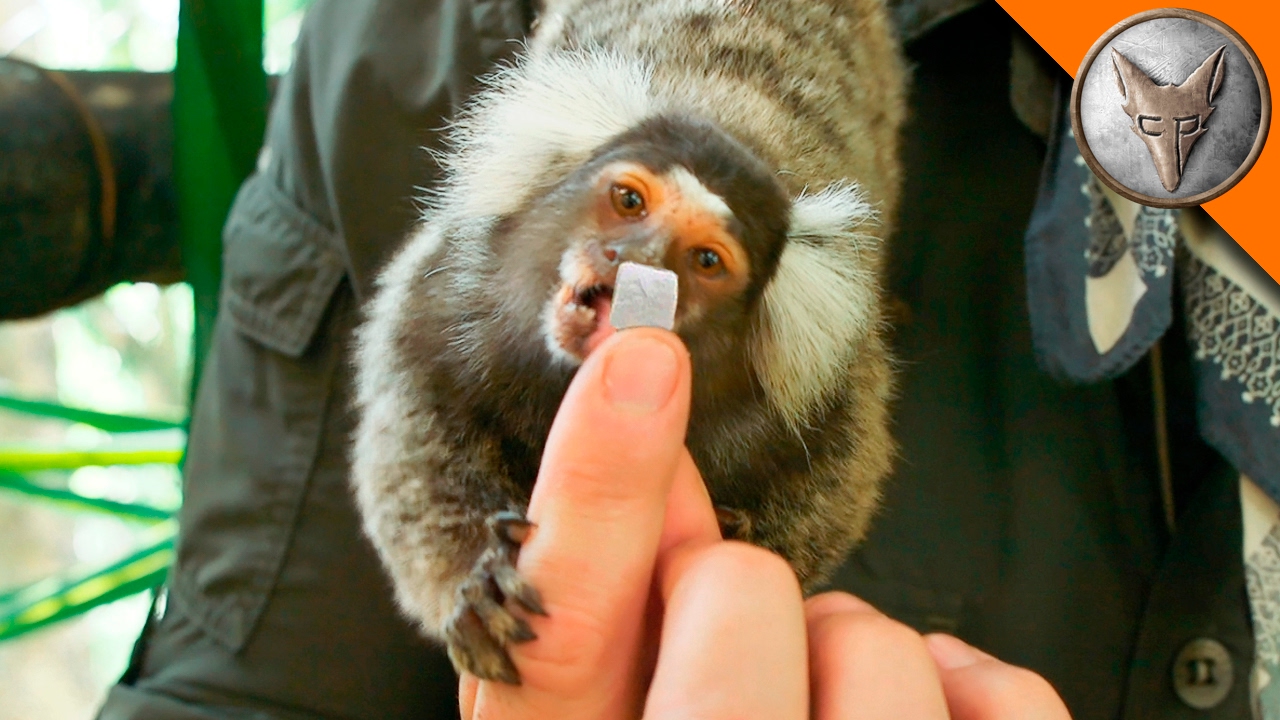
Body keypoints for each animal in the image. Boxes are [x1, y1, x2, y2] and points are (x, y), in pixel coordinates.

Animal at [350, 0, 906, 684]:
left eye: (706, 260)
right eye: (629, 200)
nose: (635, 257)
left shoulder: (825, 394)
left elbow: (833, 494)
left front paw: (738, 535)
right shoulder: (447, 291)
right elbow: (414, 433)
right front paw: (476, 582)